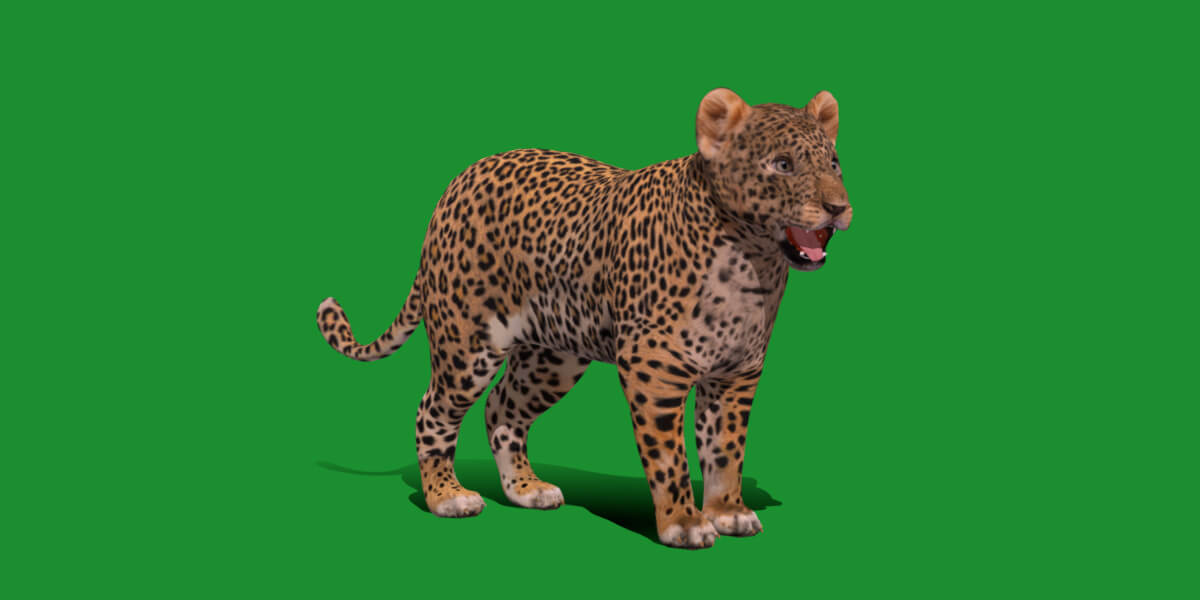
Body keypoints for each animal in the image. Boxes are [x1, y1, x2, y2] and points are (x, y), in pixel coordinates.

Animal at [315, 88, 852, 548]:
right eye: (782, 165)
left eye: (834, 163)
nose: (839, 207)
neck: (750, 262)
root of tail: (458, 183)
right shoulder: (654, 369)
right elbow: (670, 457)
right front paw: (684, 523)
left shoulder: (736, 374)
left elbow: (725, 450)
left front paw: (728, 512)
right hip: (466, 346)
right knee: (433, 412)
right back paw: (448, 496)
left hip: (551, 359)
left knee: (502, 409)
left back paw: (526, 489)